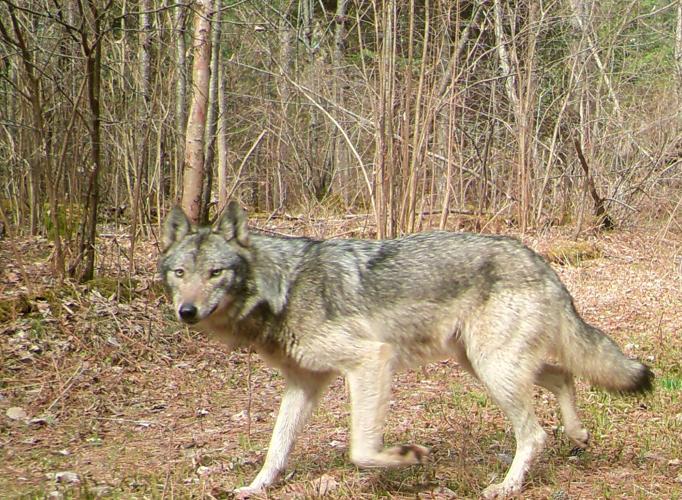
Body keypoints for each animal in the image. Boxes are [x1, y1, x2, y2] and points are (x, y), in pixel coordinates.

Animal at [158, 202, 653, 498]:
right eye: (181, 273)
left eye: (216, 273)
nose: (186, 311)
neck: (282, 288)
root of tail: (538, 258)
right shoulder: (303, 385)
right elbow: (276, 448)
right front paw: (255, 487)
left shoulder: (369, 362)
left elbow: (360, 449)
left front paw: (406, 458)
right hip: (482, 365)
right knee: (563, 376)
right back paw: (579, 434)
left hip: (492, 370)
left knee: (534, 433)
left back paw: (507, 486)